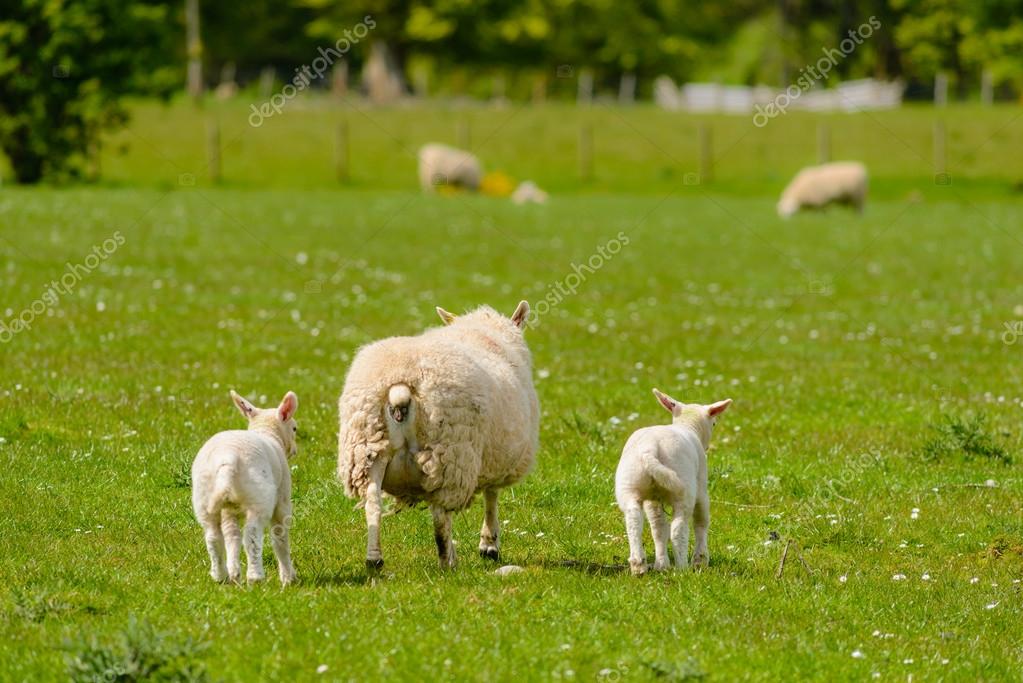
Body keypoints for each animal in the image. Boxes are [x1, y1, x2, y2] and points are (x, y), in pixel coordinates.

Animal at [191, 390, 299, 585]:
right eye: (294, 429)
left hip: (205, 498)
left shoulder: (228, 510)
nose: (294, 450)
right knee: (252, 535)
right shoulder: (283, 499)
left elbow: (232, 536)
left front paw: (234, 573)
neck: (267, 432)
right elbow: (279, 538)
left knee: (214, 537)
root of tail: (227, 458)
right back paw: (255, 577)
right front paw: (288, 577)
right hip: (259, 496)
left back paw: (221, 576)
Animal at [338, 300, 539, 571]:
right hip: (448, 456)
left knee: (373, 504)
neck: (484, 334)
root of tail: (400, 386)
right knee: (440, 516)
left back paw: (374, 559)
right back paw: (447, 561)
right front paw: (489, 546)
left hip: (367, 450)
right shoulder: (495, 458)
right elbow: (491, 498)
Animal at [615, 389, 732, 576]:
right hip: (684, 488)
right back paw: (683, 567)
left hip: (629, 484)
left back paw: (640, 566)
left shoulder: (653, 500)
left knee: (635, 521)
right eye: (713, 424)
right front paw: (700, 560)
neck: (687, 425)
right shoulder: (701, 488)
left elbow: (658, 529)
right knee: (678, 528)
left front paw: (662, 564)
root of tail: (650, 449)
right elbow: (701, 521)